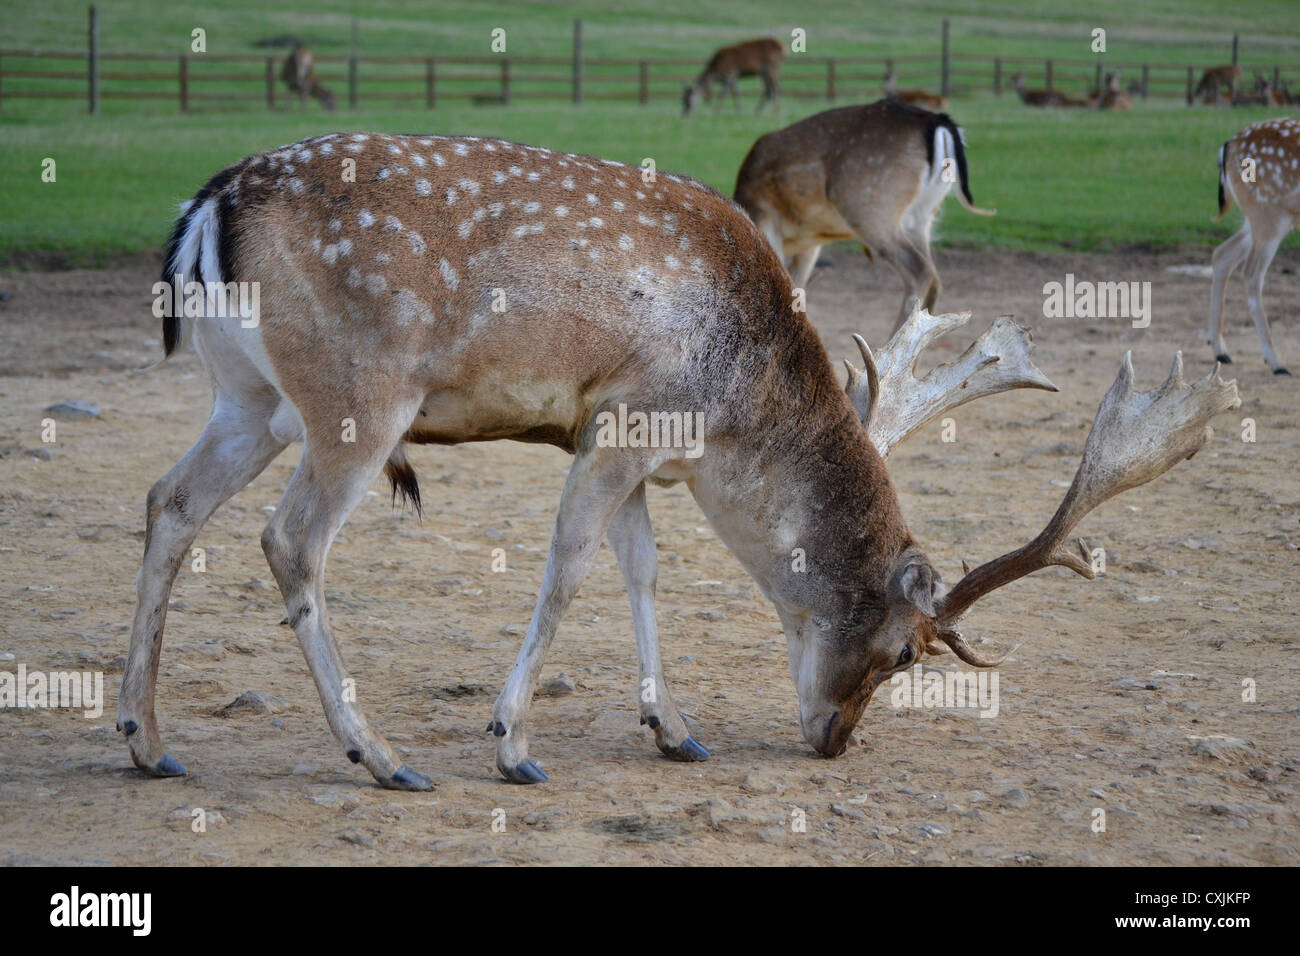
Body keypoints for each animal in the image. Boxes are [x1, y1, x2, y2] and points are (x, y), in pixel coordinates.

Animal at [118, 131, 1239, 790]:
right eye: (905, 653)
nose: (834, 739)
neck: (733, 416)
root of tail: (207, 206)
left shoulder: (622, 438)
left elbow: (641, 570)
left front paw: (674, 727)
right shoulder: (627, 421)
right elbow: (569, 568)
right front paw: (512, 743)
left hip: (251, 398)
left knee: (170, 498)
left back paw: (145, 736)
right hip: (360, 395)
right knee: (289, 540)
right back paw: (380, 755)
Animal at [733, 99, 995, 331]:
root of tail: (938, 121)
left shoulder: (765, 216)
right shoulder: (811, 243)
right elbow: (797, 290)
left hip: (870, 208)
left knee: (920, 270)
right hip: (922, 216)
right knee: (935, 277)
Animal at [1207, 117, 1298, 375]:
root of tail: (1228, 145)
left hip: (1260, 217)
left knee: (1223, 254)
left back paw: (1221, 350)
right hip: (1267, 215)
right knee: (1251, 274)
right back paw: (1275, 361)